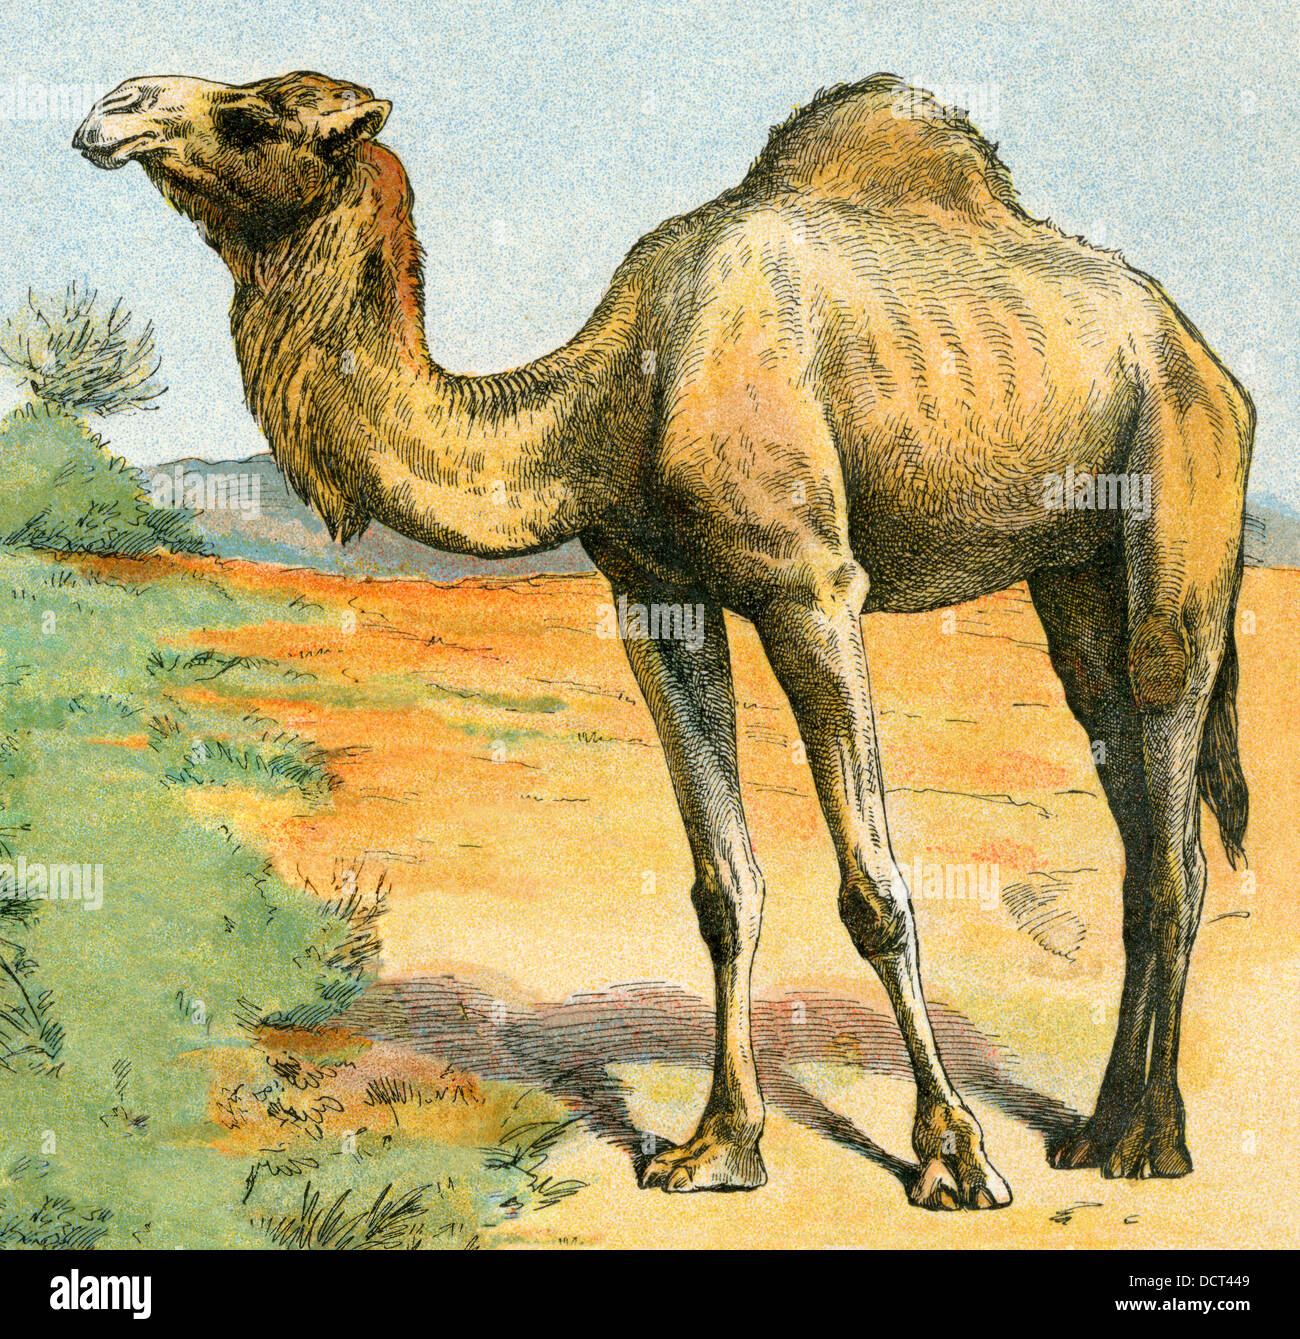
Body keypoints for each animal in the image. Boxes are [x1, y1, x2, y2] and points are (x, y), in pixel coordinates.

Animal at [73, 71, 1253, 1209]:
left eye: (263, 110)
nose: (112, 108)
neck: (612, 400)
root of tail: (1209, 360)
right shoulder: (657, 596)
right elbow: (722, 886)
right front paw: (717, 1147)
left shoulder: (810, 585)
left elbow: (874, 889)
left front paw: (954, 1155)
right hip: (1069, 571)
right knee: (1126, 781)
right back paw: (1096, 1130)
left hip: (1180, 497)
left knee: (1173, 818)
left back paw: (1150, 1141)